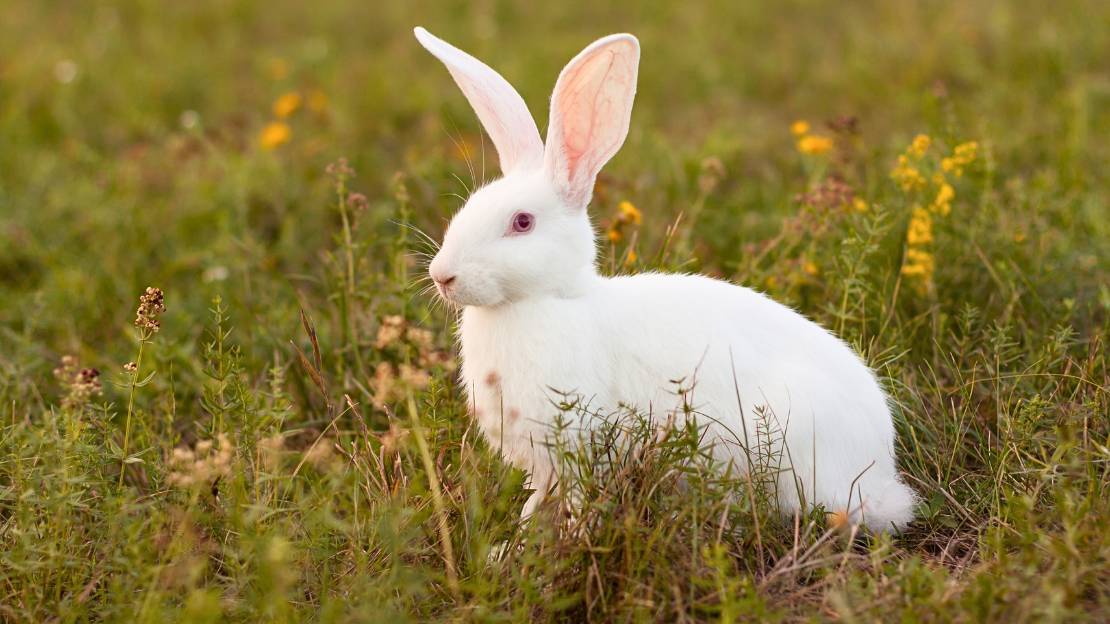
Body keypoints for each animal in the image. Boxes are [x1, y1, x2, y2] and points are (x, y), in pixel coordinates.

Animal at [414, 26, 917, 532]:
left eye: (522, 222)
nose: (442, 276)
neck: (547, 300)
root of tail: (881, 472)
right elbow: (537, 501)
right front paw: (516, 542)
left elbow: (576, 500)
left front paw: (568, 537)